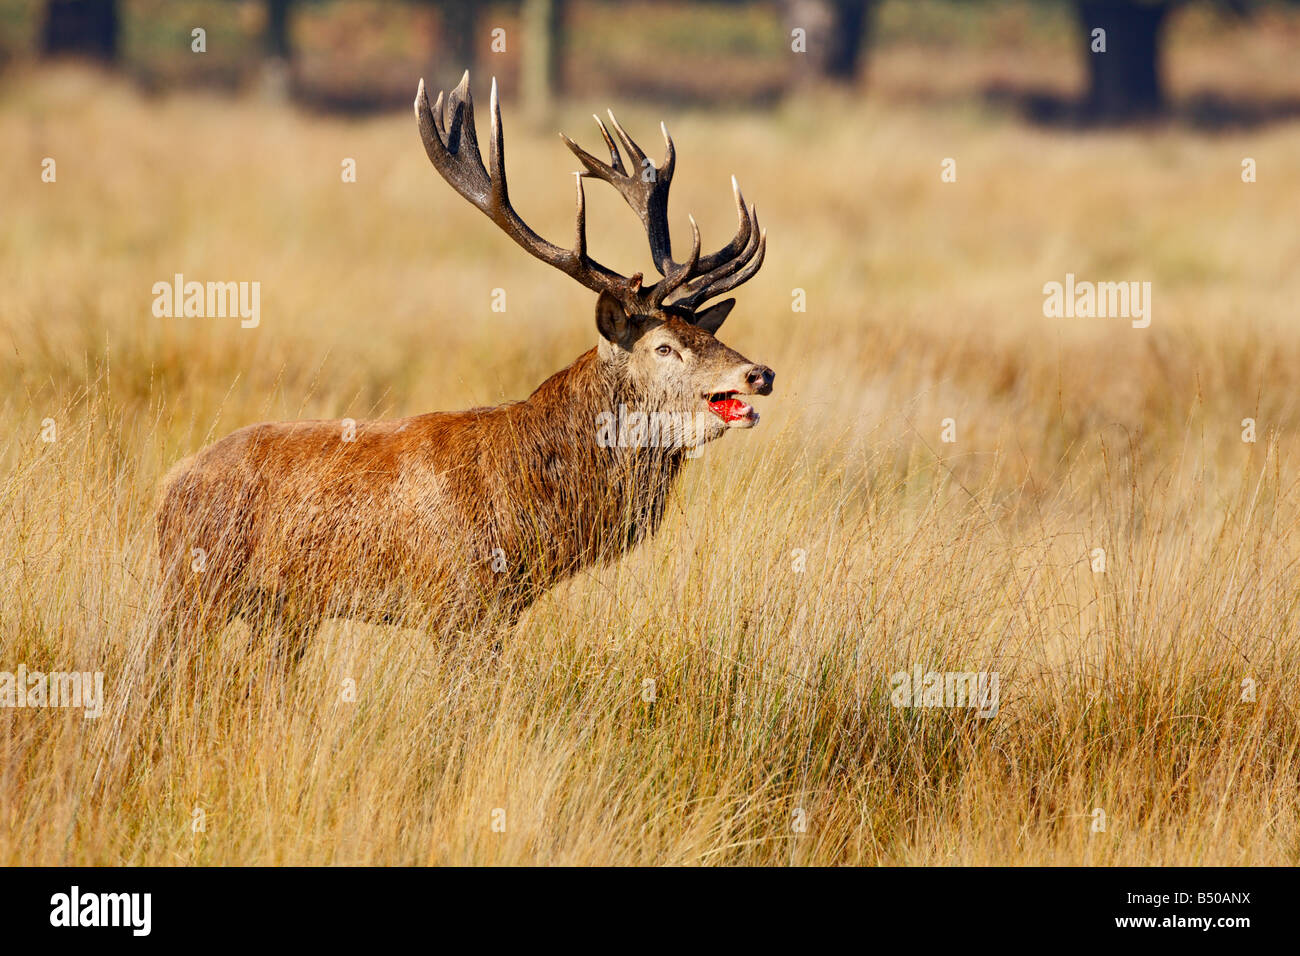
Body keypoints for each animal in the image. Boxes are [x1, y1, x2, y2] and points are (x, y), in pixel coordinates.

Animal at [155, 72, 773, 661]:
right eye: (664, 346)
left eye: (708, 333)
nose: (759, 373)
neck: (530, 504)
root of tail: (166, 486)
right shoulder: (459, 602)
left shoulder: (500, 610)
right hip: (190, 587)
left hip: (283, 612)